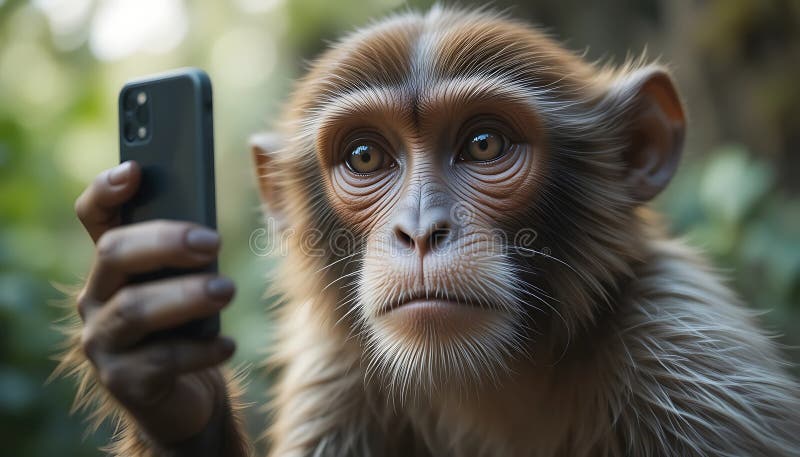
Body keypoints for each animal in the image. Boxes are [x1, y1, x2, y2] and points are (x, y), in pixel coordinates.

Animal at [56, 6, 800, 457]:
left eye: (483, 144)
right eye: (364, 156)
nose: (420, 231)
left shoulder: (690, 352)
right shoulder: (334, 375)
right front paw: (163, 377)